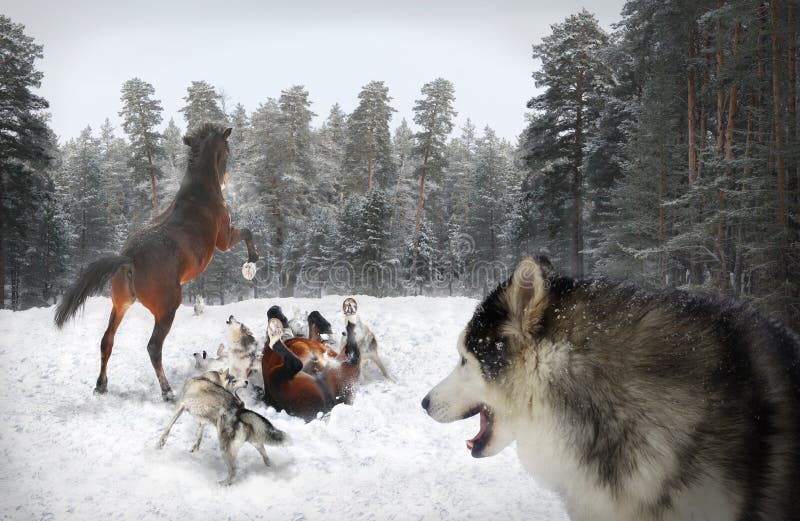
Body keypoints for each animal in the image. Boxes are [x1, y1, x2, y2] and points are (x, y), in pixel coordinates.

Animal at [54, 124, 258, 401]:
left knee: (107, 341)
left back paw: (101, 385)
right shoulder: (224, 240)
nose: (226, 179)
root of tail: (128, 257)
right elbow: (247, 231)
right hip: (167, 308)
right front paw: (252, 262)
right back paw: (167, 391)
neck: (200, 193)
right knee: (153, 347)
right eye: (226, 149)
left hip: (121, 305)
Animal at [156, 369, 287, 485]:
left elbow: (168, 427)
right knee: (264, 452)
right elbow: (198, 436)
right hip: (253, 441)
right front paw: (194, 449)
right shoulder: (202, 421)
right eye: (234, 380)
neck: (207, 378)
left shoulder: (181, 406)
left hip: (224, 448)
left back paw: (223, 484)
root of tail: (240, 410)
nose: (246, 381)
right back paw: (270, 466)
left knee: (233, 471)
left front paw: (159, 444)